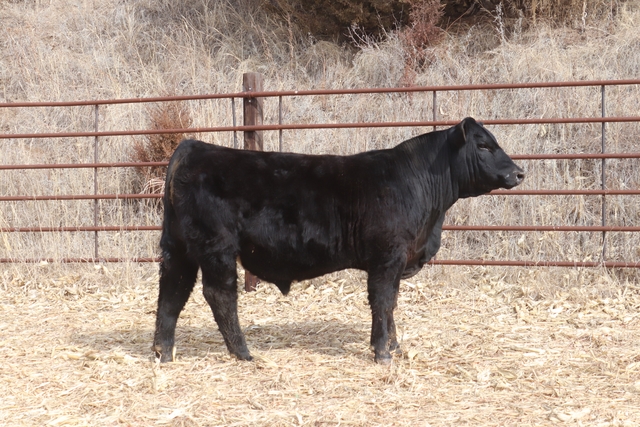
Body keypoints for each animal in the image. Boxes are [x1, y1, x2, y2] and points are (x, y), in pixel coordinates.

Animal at [152, 117, 525, 364]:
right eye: (483, 145)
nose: (519, 172)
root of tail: (192, 147)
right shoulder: (388, 257)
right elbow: (383, 302)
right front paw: (383, 352)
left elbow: (390, 304)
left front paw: (394, 346)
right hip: (217, 248)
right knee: (219, 295)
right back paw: (243, 353)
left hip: (179, 248)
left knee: (172, 293)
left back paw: (163, 352)